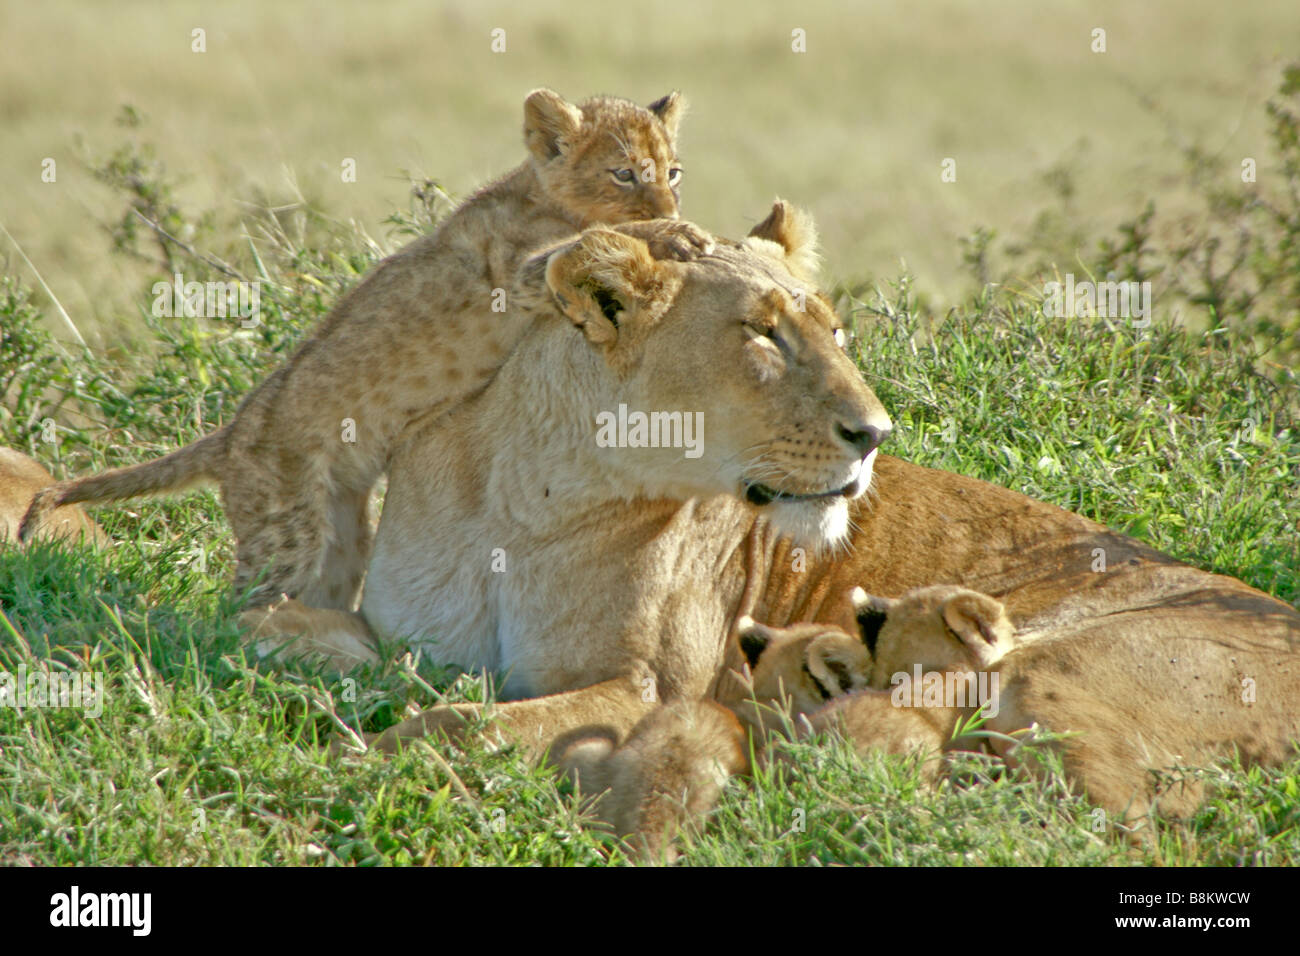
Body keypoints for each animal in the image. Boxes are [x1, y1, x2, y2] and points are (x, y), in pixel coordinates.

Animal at [21, 88, 708, 611]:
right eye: (624, 173)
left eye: (674, 172)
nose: (675, 200)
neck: (543, 194)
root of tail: (233, 433)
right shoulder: (514, 275)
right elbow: (594, 236)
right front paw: (675, 234)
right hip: (284, 527)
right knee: (237, 611)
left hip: (341, 533)